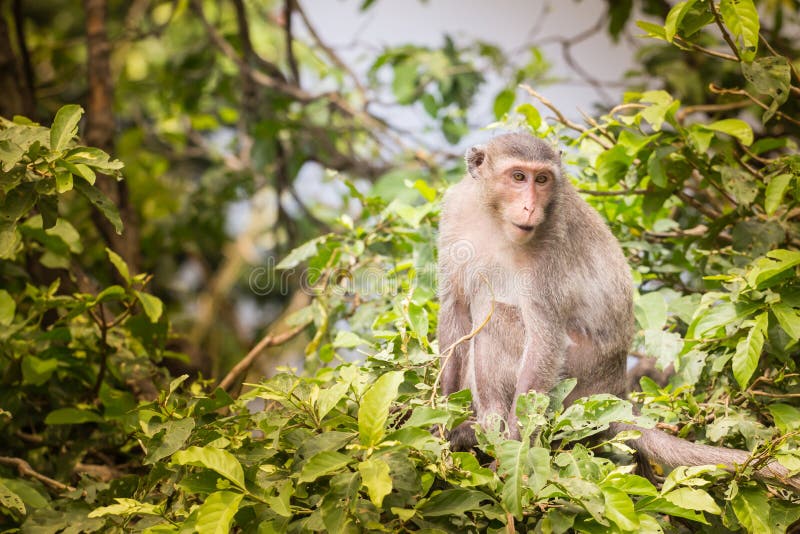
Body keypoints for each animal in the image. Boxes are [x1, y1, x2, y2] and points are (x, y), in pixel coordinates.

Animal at [437, 131, 800, 491]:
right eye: (517, 177)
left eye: (541, 179)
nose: (530, 206)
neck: (494, 219)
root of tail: (613, 389)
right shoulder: (456, 214)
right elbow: (456, 310)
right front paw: (441, 417)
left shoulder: (550, 244)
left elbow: (544, 338)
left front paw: (513, 452)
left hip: (577, 385)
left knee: (497, 316)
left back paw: (489, 430)